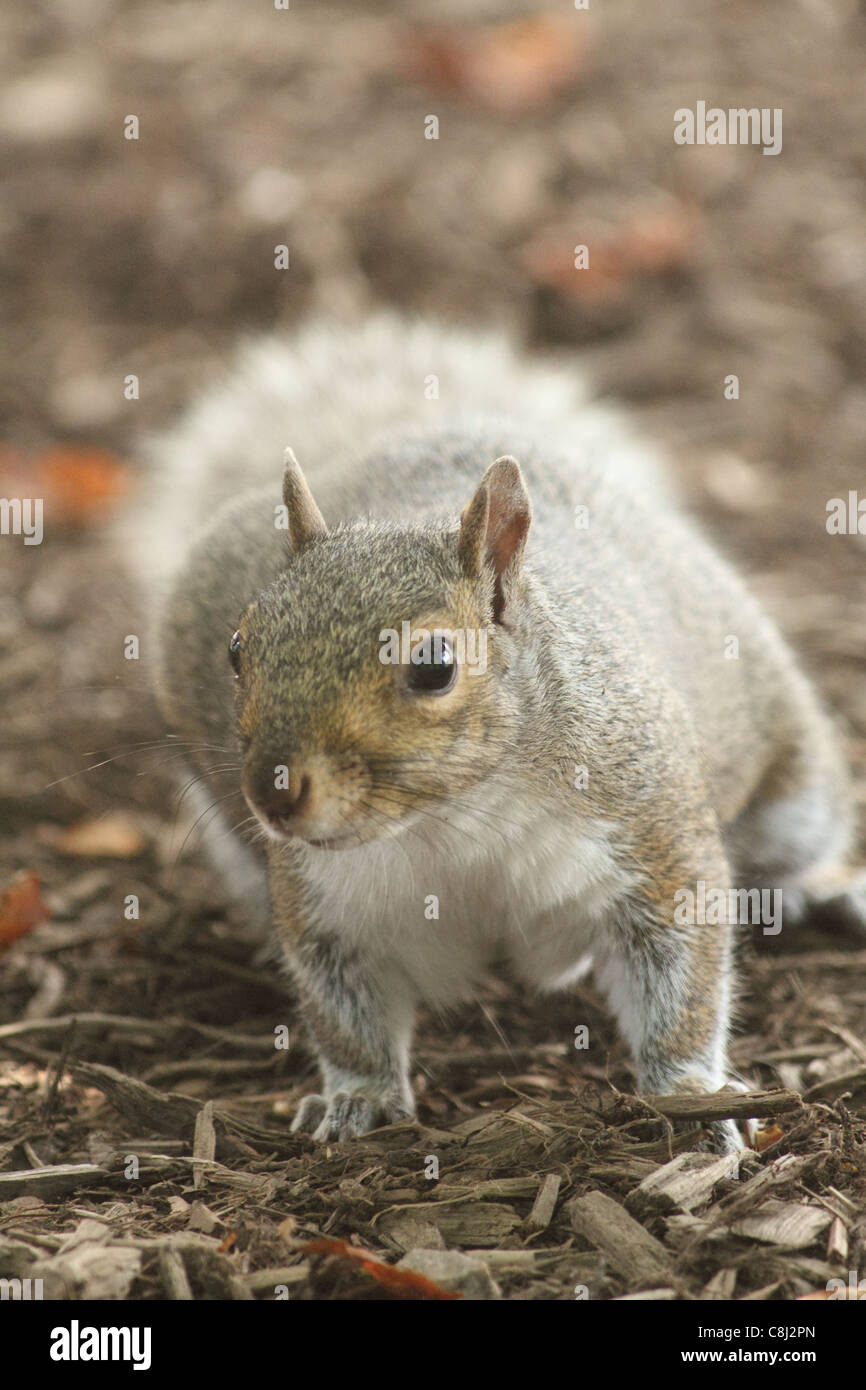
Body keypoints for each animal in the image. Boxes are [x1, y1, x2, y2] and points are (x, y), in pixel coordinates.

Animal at [128, 314, 865, 1154]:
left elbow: (679, 974)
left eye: (434, 667)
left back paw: (817, 893)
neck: (454, 819)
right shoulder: (327, 901)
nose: (273, 794)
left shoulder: (652, 834)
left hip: (793, 793)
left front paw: (691, 1095)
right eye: (237, 647)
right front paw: (357, 1100)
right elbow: (344, 1008)